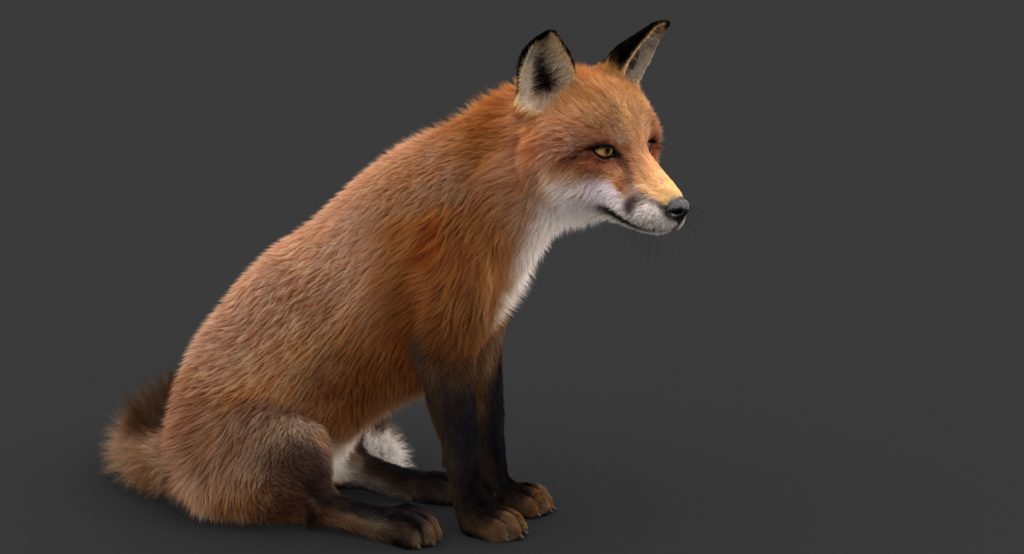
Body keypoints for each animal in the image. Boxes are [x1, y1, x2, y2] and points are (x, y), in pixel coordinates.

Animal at [101, 20, 688, 548]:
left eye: (652, 145)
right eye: (604, 151)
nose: (680, 209)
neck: (496, 217)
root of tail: (170, 455)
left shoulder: (486, 337)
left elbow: (491, 436)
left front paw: (506, 493)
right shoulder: (442, 343)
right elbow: (464, 445)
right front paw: (481, 517)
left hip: (334, 440)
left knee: (356, 471)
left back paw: (428, 487)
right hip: (296, 439)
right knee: (318, 505)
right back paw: (401, 521)